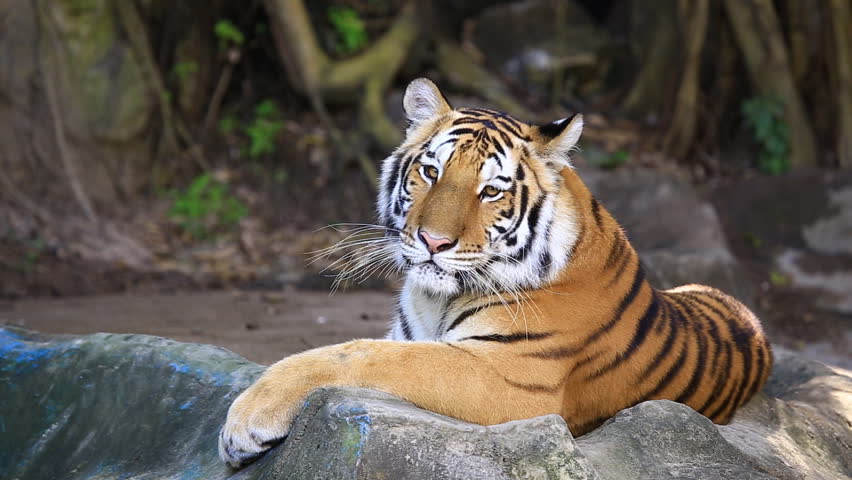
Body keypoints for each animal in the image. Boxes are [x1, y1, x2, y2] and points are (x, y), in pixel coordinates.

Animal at [219, 78, 773, 468]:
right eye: (431, 172)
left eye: (491, 191)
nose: (433, 242)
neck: (434, 299)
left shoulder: (506, 377)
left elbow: (361, 354)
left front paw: (244, 422)